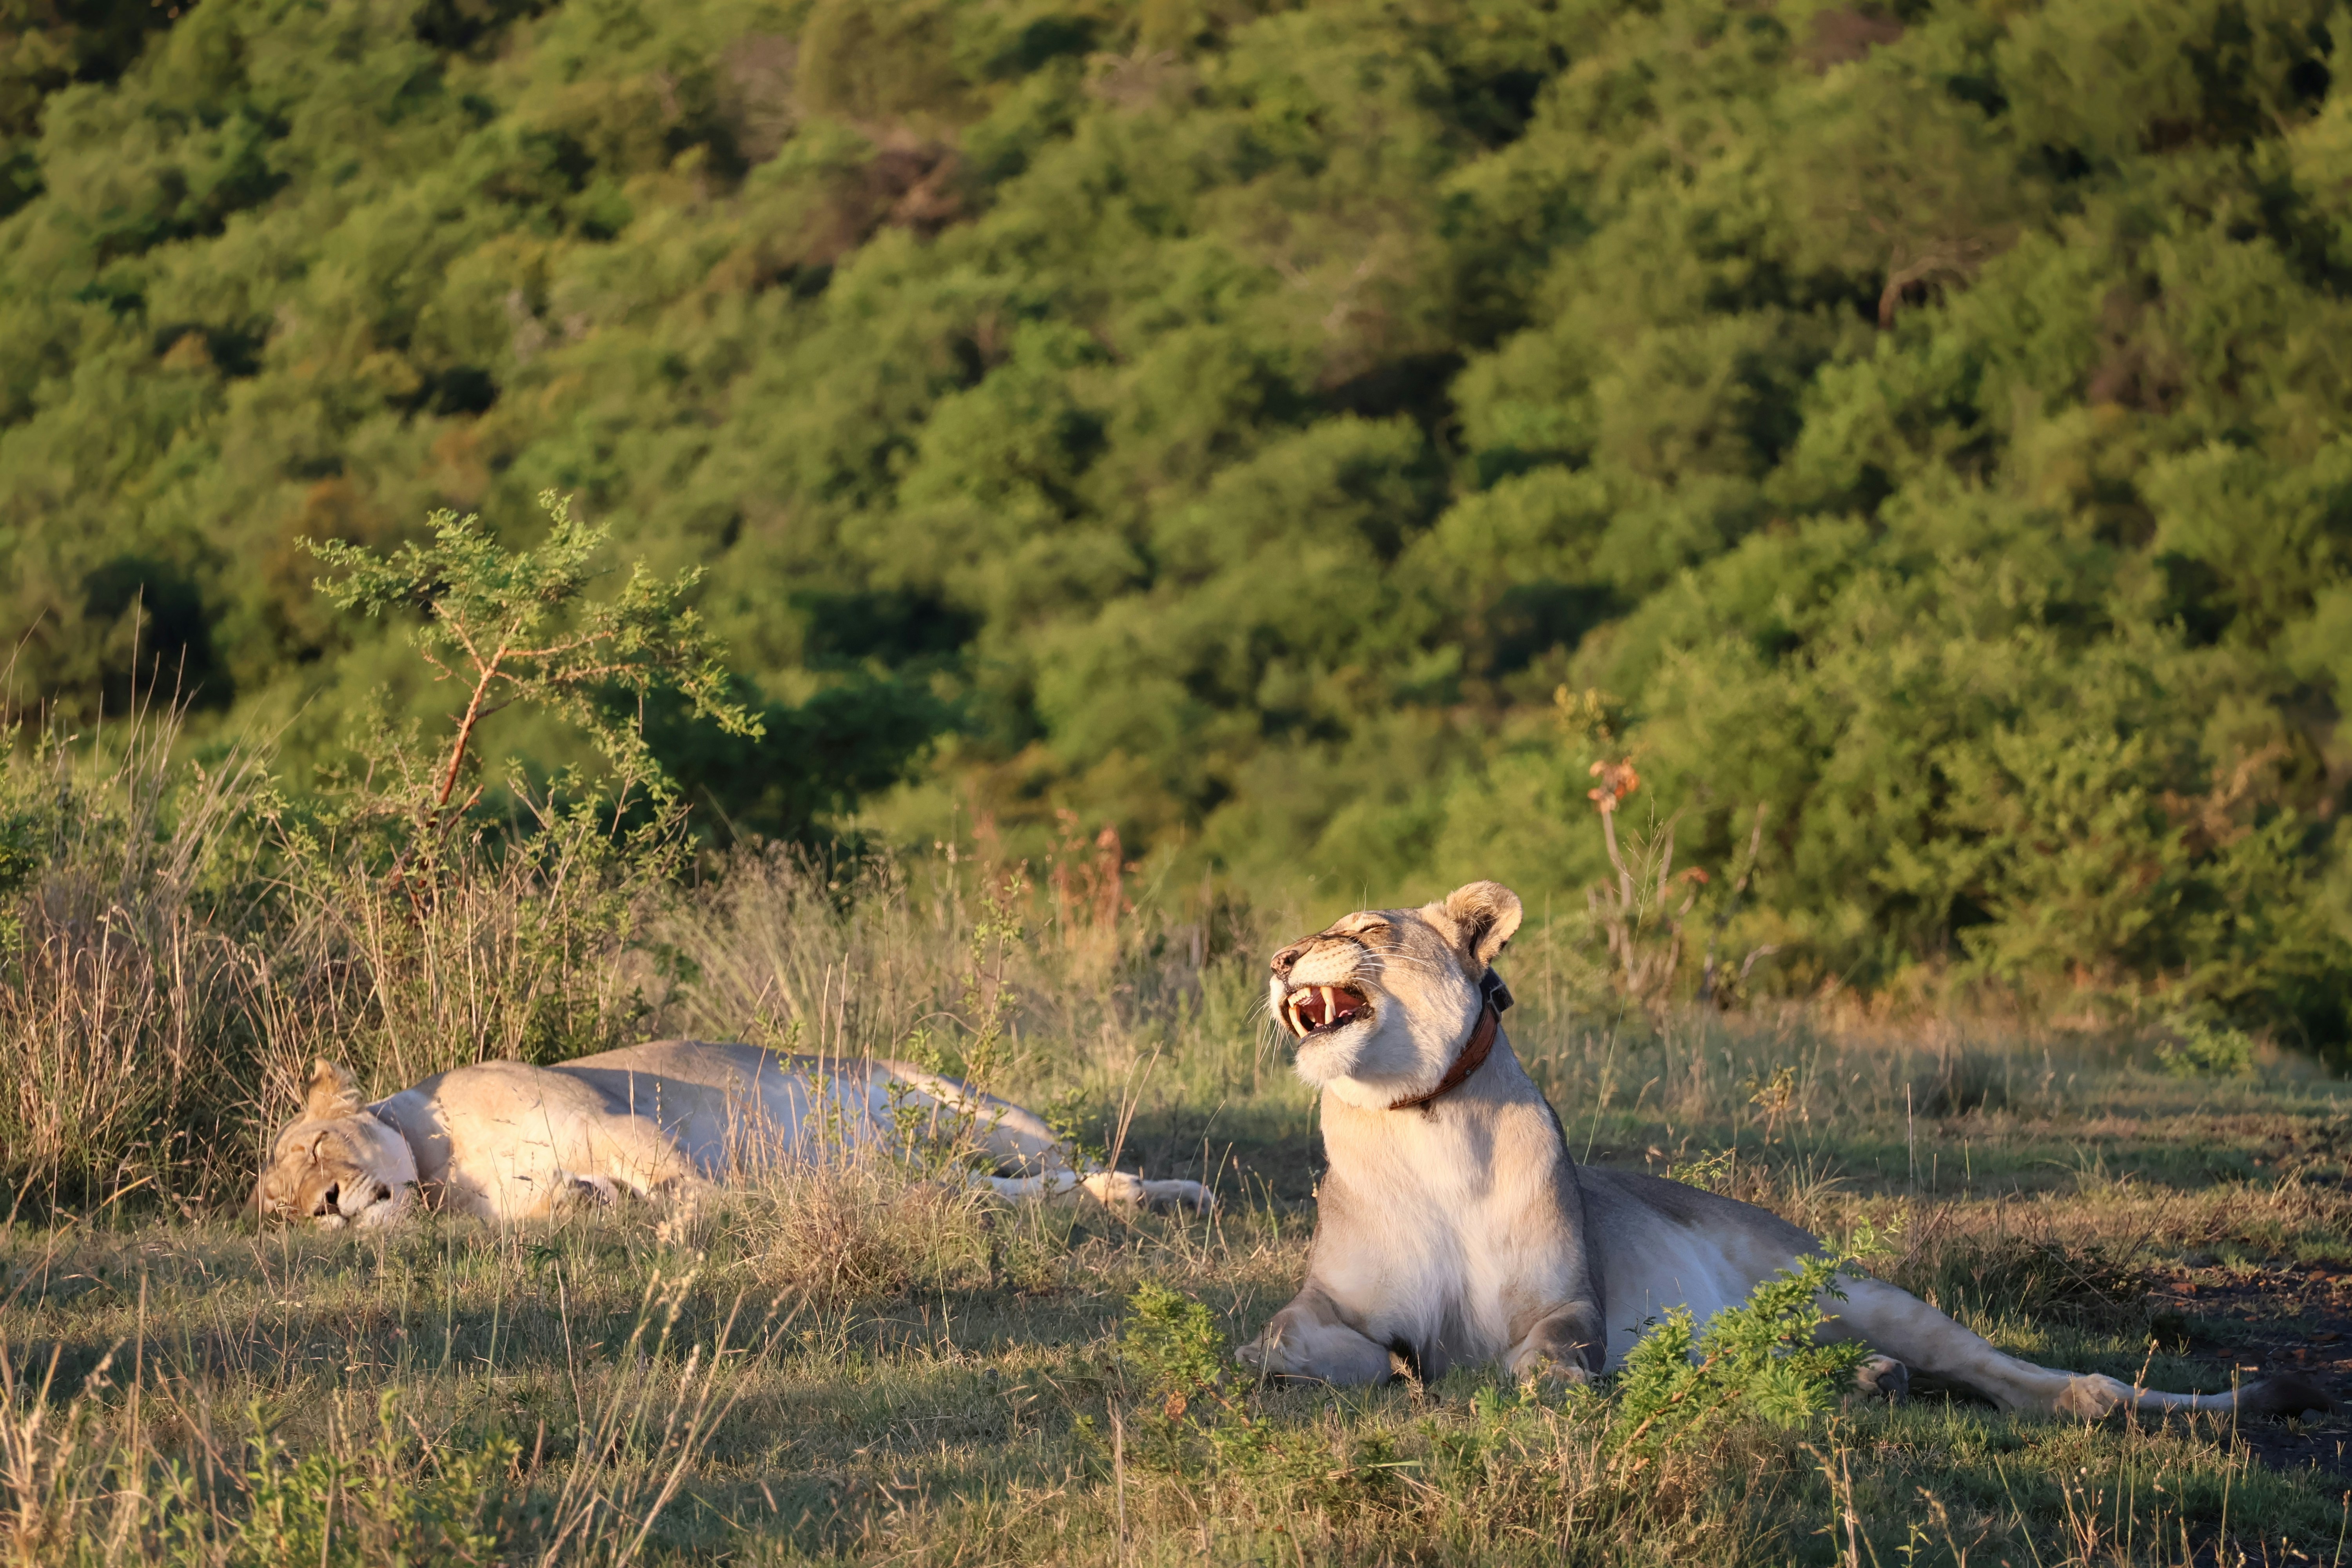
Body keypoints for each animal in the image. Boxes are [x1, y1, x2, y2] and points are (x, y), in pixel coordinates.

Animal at [1238, 881, 2332, 1421]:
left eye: (1367, 928)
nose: (1282, 958)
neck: (1419, 1118)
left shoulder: (1571, 1306)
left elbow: (1547, 1365)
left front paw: (1503, 1381)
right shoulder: (1319, 1306)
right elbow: (1294, 1342)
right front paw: (1391, 1366)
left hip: (1872, 1294)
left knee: (2049, 1383)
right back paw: (1863, 1382)